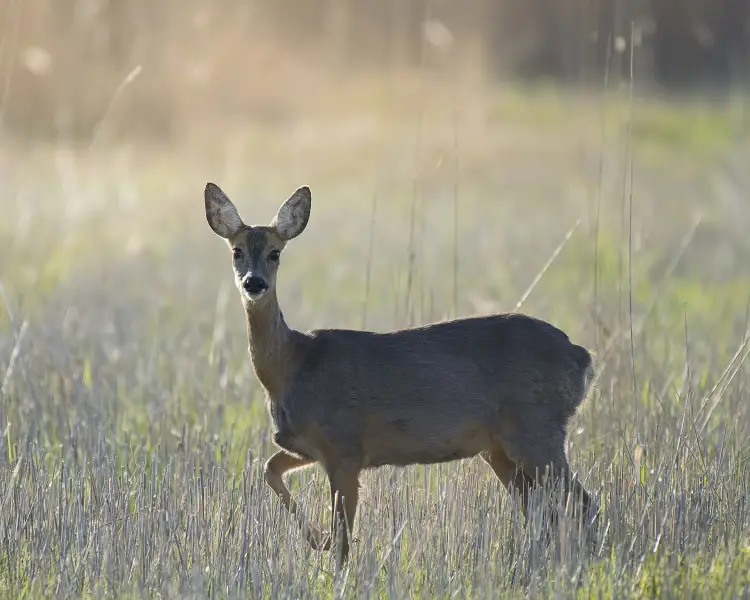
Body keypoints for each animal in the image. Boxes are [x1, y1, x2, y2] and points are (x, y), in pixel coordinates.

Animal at [204, 182, 597, 565]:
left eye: (276, 252)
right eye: (236, 251)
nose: (254, 283)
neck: (292, 366)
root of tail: (581, 358)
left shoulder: (344, 446)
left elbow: (344, 538)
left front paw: (329, 557)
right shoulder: (310, 446)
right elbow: (269, 467)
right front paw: (317, 538)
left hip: (536, 428)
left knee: (580, 503)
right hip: (500, 446)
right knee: (542, 510)